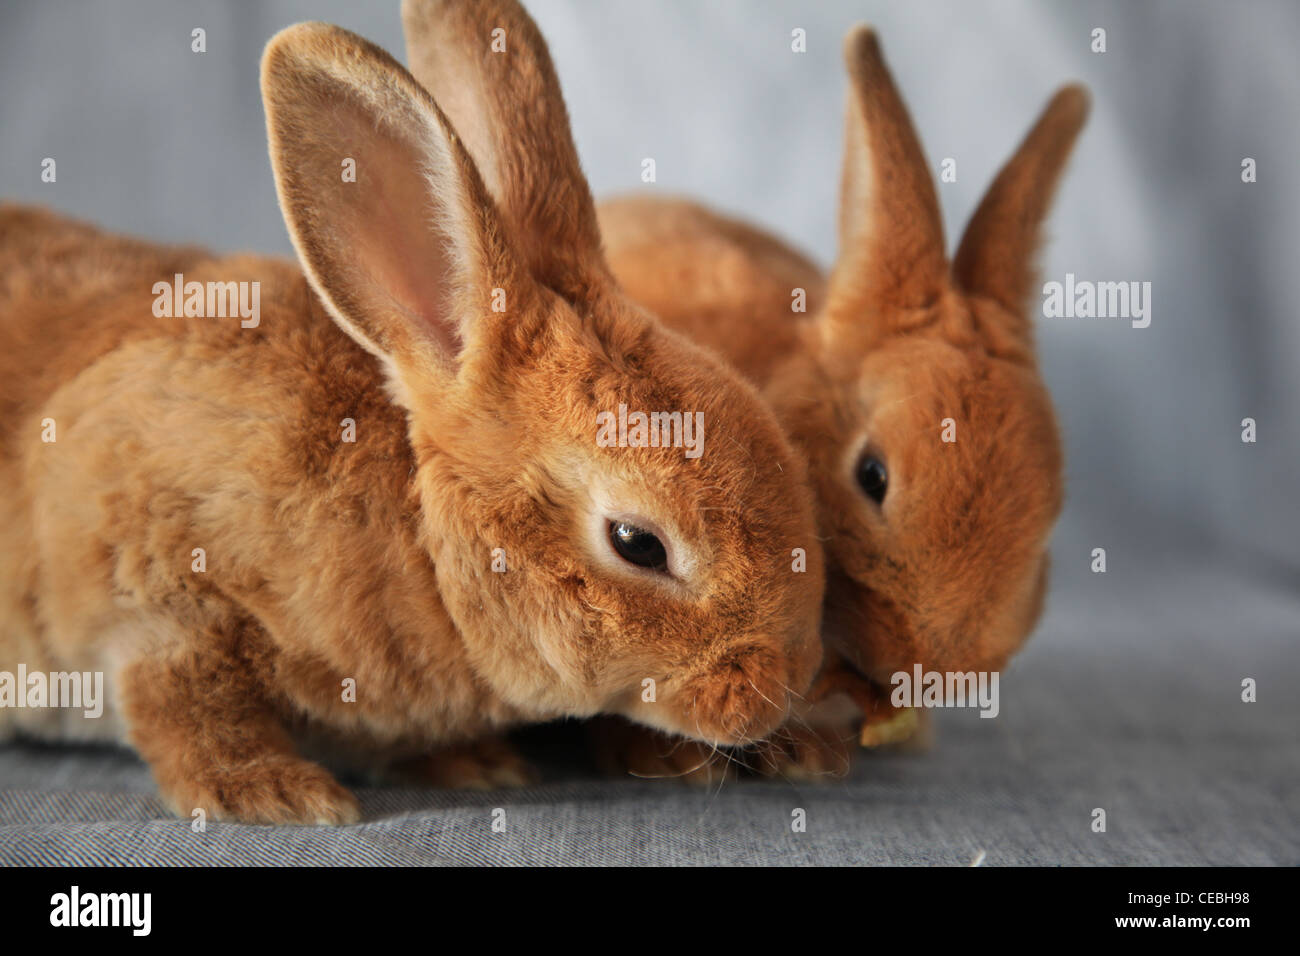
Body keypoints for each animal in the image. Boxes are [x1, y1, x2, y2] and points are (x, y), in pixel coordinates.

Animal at [0, 15, 827, 824]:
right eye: (637, 544)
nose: (776, 692)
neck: (417, 531)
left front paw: (471, 765)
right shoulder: (159, 585)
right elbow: (184, 703)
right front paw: (273, 793)